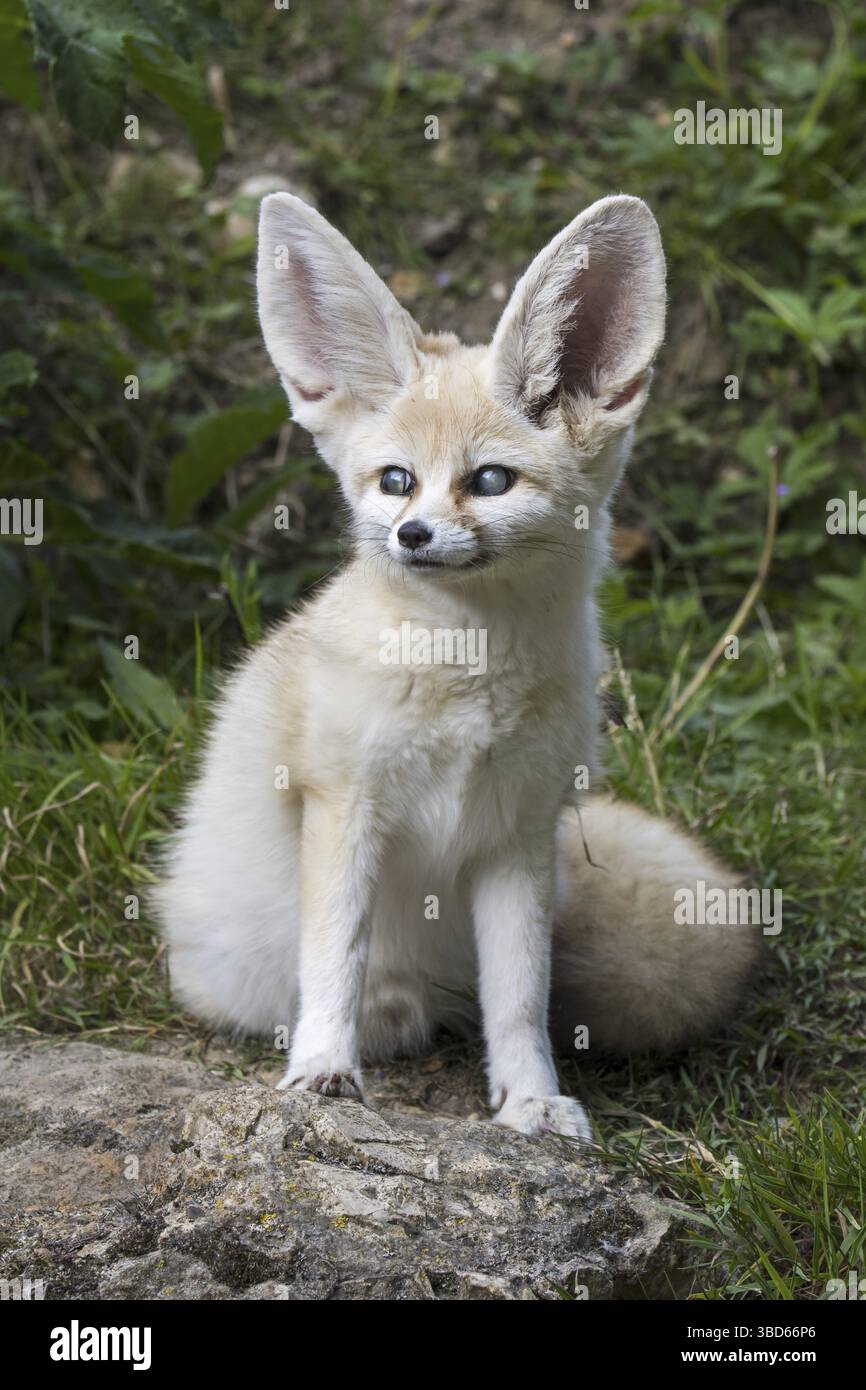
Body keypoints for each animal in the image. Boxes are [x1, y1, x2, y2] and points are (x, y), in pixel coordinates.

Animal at [155, 192, 760, 1140]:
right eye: (396, 481)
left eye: (491, 481)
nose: (412, 536)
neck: (468, 682)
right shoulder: (345, 805)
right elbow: (335, 958)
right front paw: (323, 1071)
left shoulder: (517, 835)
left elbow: (520, 996)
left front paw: (531, 1100)